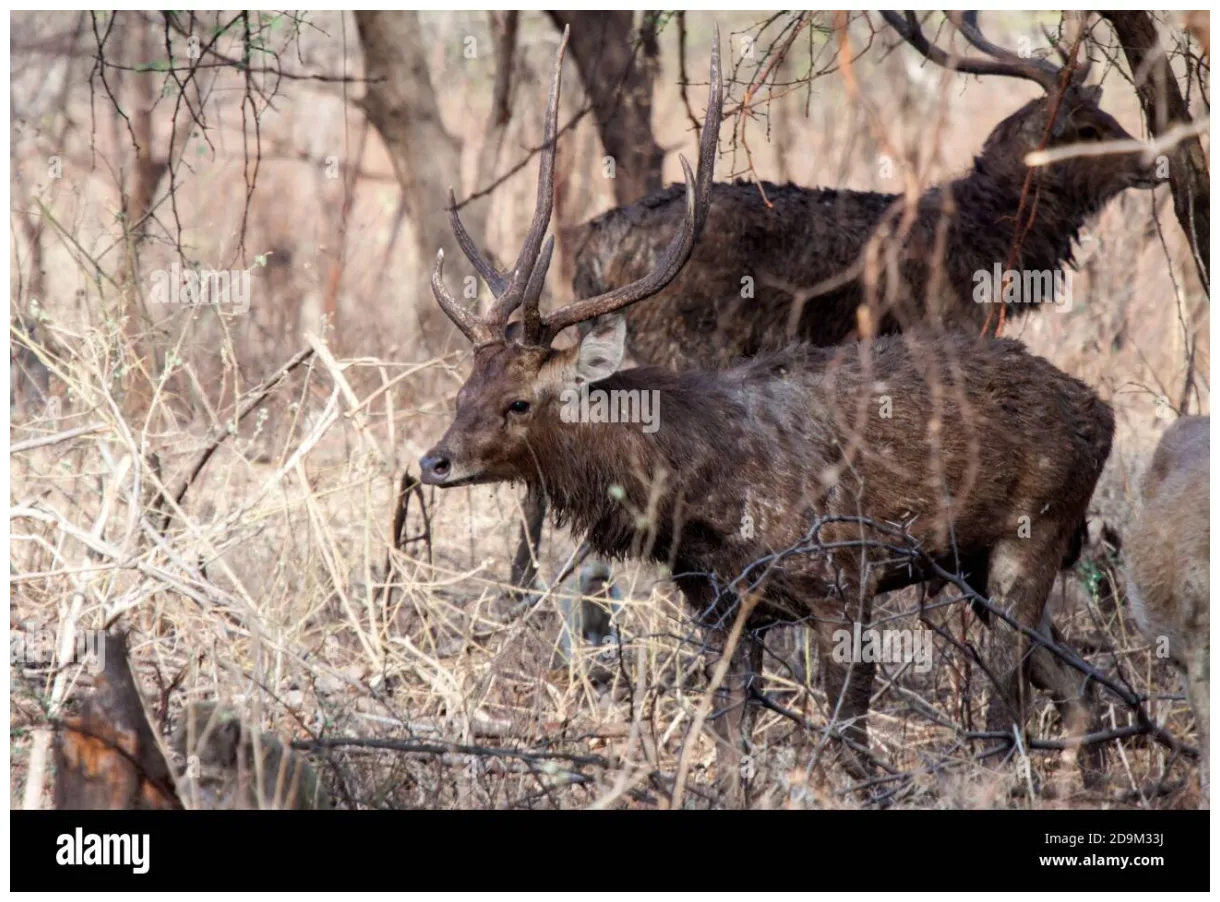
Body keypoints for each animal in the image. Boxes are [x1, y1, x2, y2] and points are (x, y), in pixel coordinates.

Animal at [418, 27, 1115, 803]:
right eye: (464, 389)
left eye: (519, 400)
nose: (434, 461)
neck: (700, 496)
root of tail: (1102, 413)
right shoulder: (721, 610)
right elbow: (730, 749)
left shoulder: (844, 579)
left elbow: (849, 742)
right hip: (988, 565)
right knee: (1082, 693)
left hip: (1036, 531)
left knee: (1007, 710)